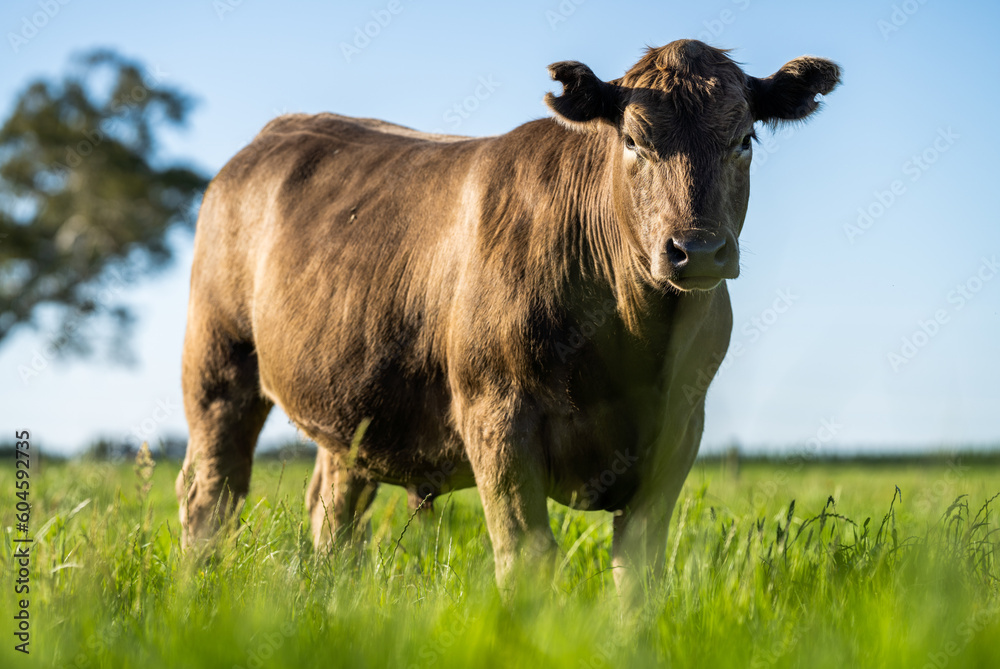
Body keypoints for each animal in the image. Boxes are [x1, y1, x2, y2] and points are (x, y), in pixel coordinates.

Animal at [176, 39, 840, 601]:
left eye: (746, 139)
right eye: (633, 141)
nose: (696, 249)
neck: (632, 341)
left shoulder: (680, 426)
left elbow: (640, 570)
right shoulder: (496, 415)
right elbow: (527, 556)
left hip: (351, 405)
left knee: (332, 510)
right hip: (219, 367)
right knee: (211, 493)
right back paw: (196, 591)